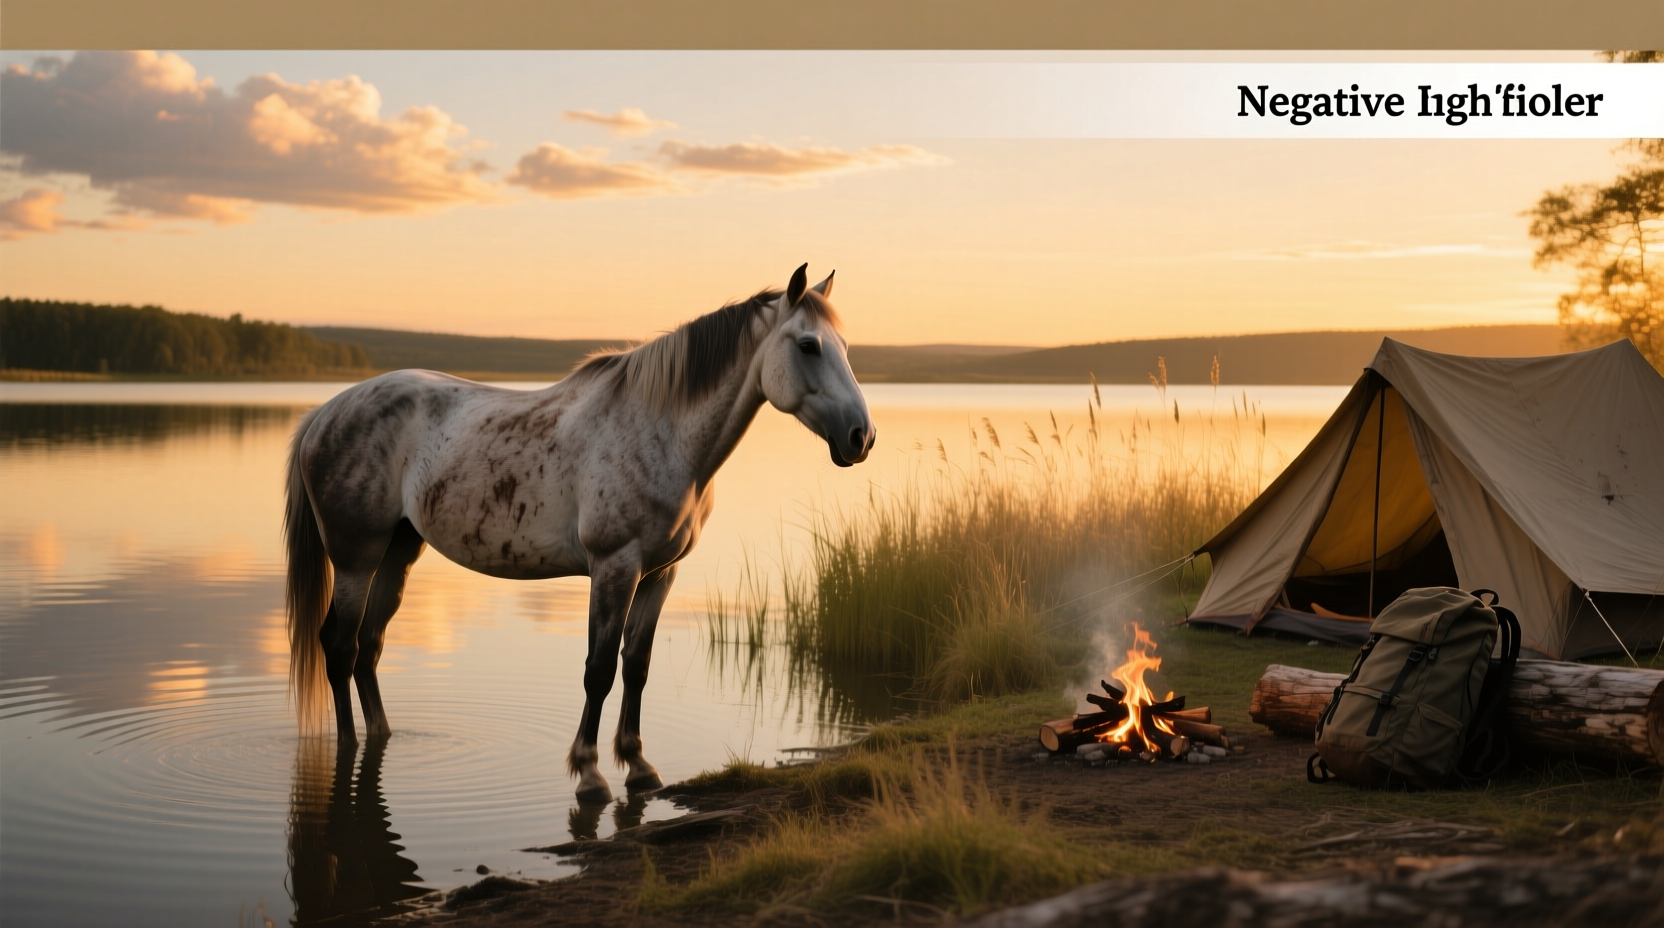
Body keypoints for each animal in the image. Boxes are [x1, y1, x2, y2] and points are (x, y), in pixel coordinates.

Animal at [284, 264, 873, 801]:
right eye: (808, 345)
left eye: (845, 345)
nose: (861, 437)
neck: (661, 431)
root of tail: (324, 413)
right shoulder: (615, 566)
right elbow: (599, 670)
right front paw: (589, 773)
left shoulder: (660, 573)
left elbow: (636, 667)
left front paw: (638, 766)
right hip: (356, 559)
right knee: (339, 645)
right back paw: (348, 746)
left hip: (398, 552)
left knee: (368, 646)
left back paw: (383, 734)